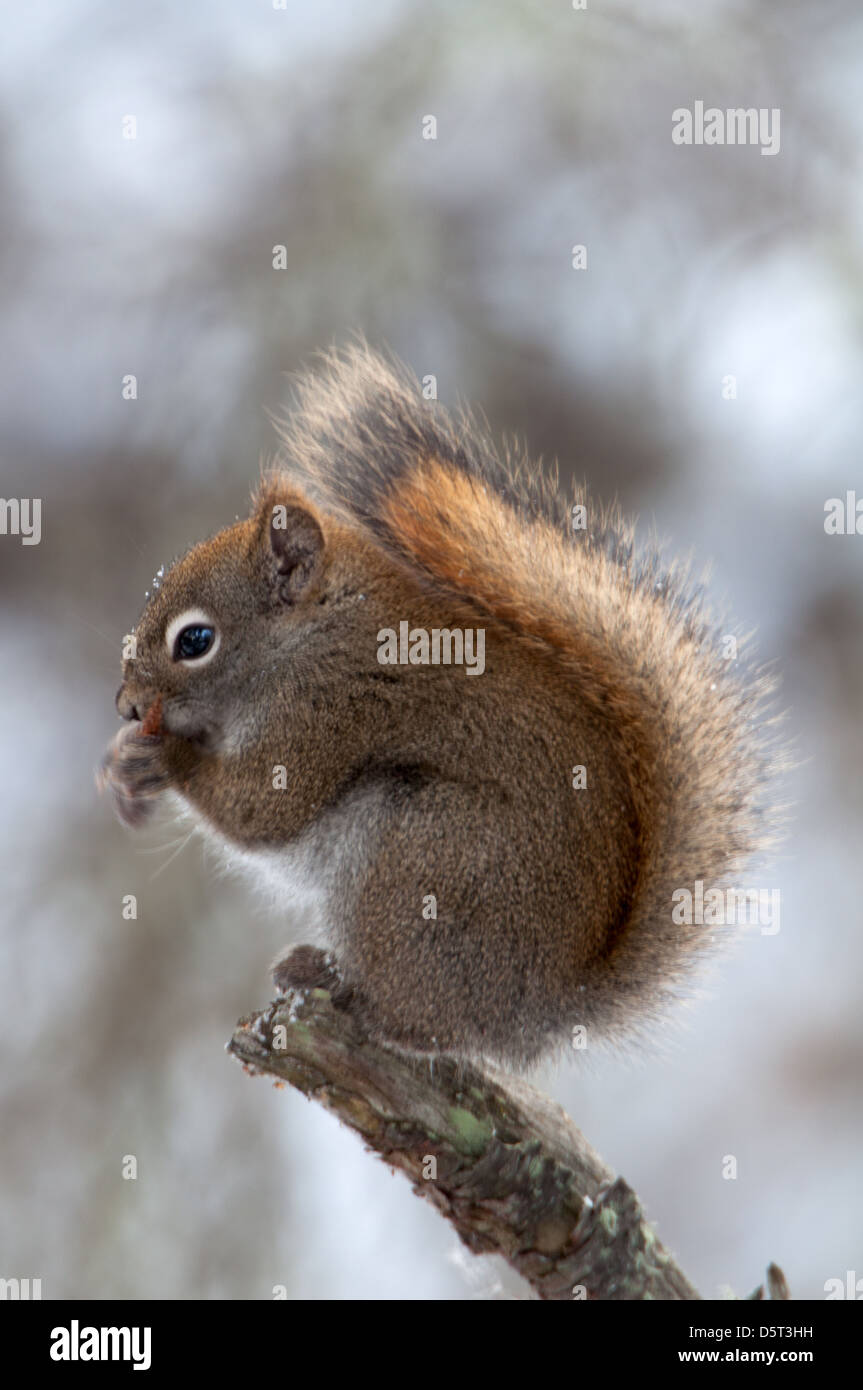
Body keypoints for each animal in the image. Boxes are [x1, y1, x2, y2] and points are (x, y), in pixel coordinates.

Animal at [98, 344, 782, 1066]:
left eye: (194, 641)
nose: (125, 705)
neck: (314, 632)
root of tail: (539, 1010)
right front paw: (120, 766)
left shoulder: (328, 708)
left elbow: (262, 809)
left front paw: (164, 758)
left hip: (424, 856)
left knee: (426, 1024)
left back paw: (345, 990)